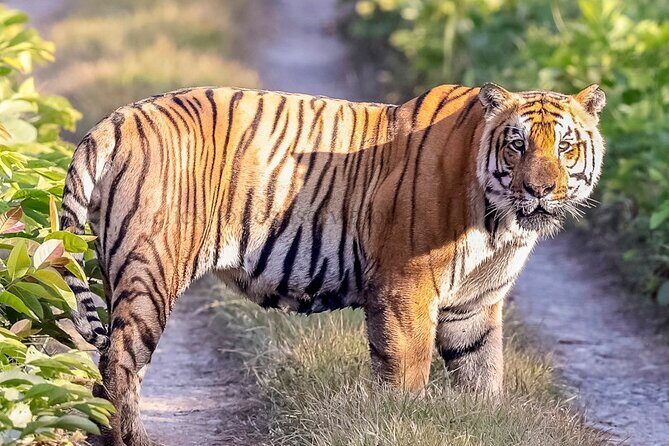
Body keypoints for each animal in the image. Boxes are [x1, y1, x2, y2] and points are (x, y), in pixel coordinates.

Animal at [60, 83, 605, 445]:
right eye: (517, 145)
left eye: (565, 146)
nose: (540, 190)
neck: (500, 225)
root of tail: (116, 120)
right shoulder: (407, 289)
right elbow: (408, 374)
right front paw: (405, 421)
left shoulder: (473, 306)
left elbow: (483, 378)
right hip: (151, 267)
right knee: (119, 360)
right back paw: (130, 440)